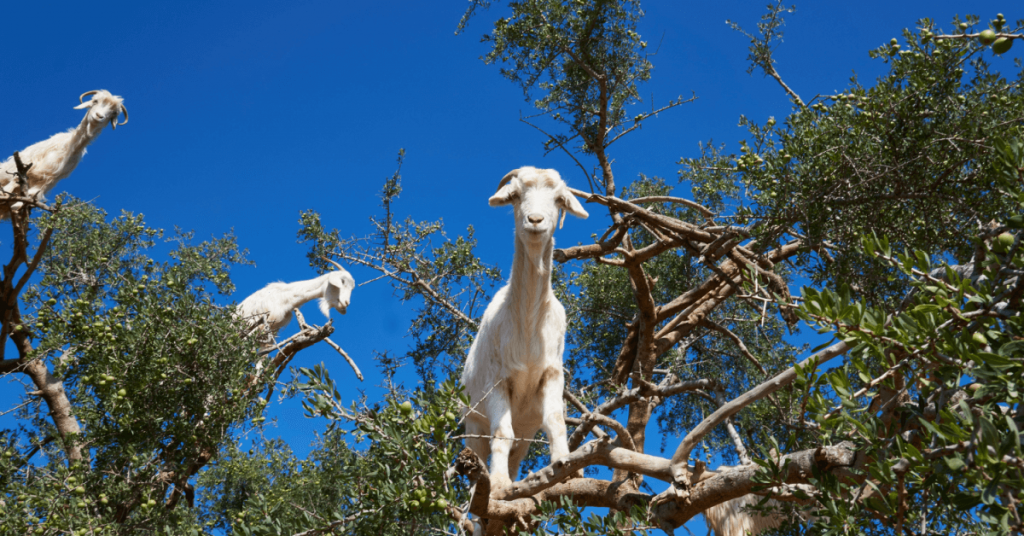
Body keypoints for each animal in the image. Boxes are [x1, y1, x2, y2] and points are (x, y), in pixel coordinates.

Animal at [461, 166, 589, 495]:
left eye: (559, 199)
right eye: (516, 195)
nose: (535, 220)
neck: (529, 325)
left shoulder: (552, 373)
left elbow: (555, 421)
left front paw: (567, 469)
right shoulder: (496, 381)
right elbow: (501, 432)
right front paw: (498, 483)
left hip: (526, 435)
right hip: (473, 426)